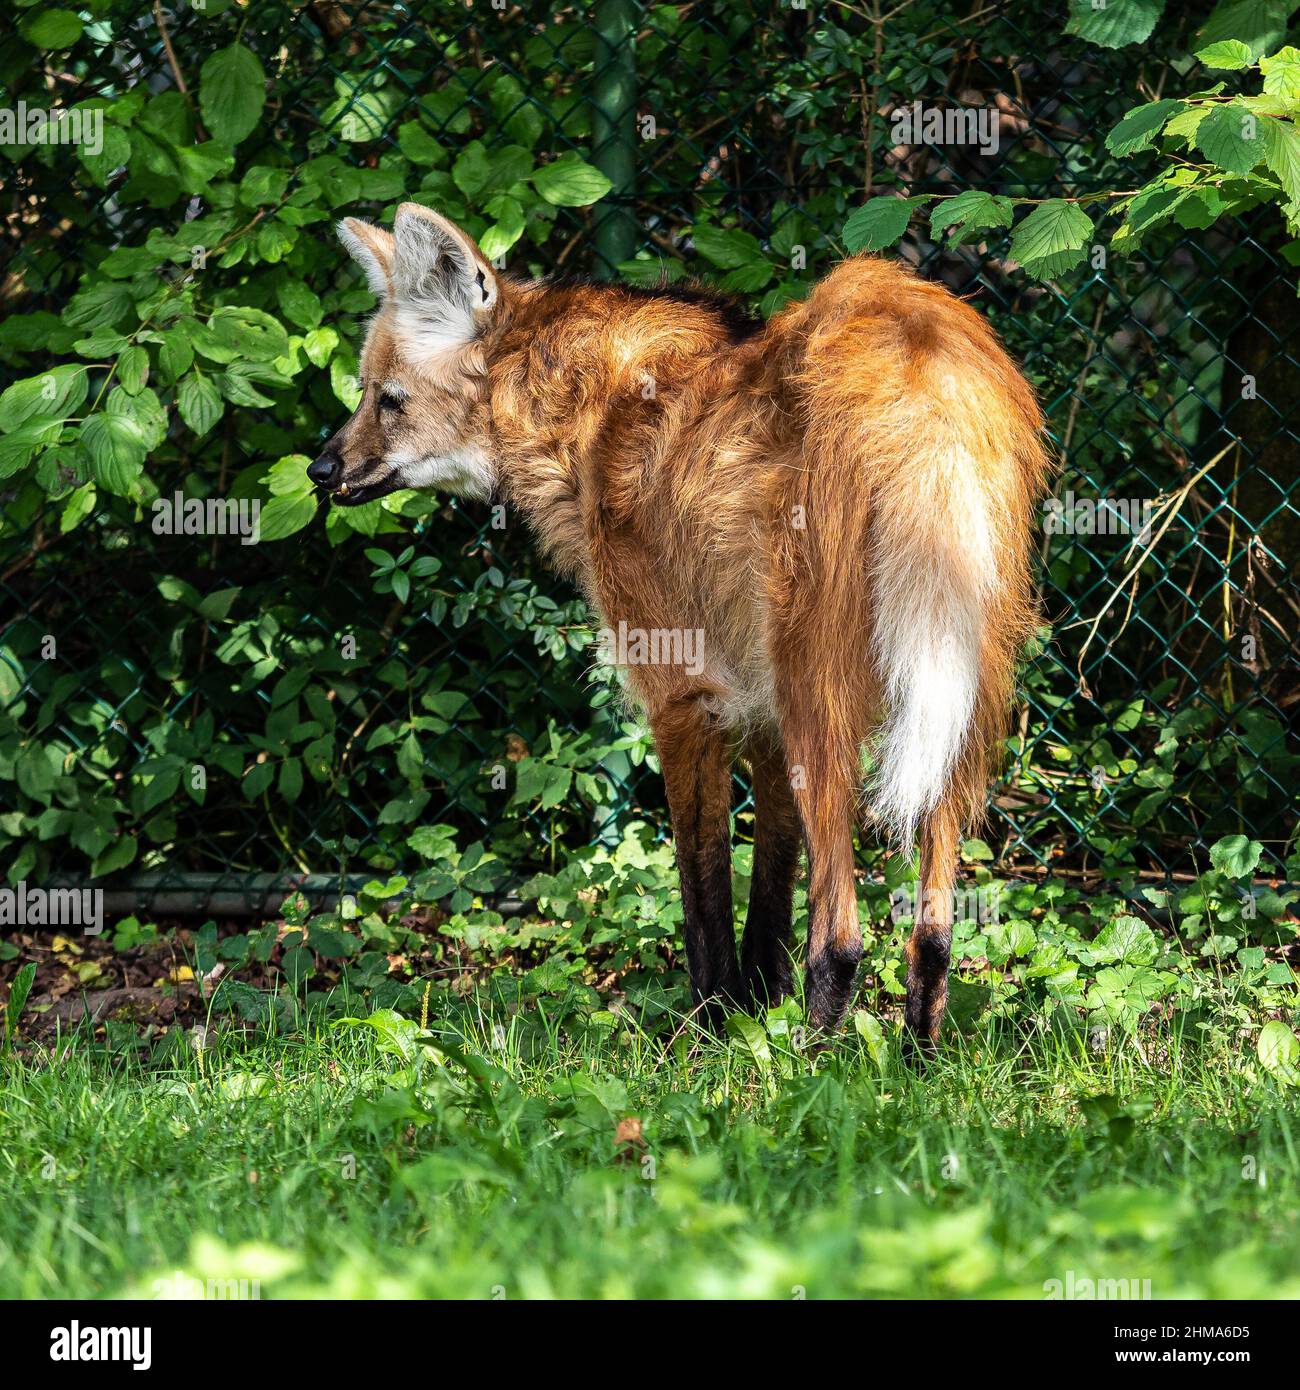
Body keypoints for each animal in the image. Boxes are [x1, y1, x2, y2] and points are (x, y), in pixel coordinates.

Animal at [311, 201, 1050, 1045]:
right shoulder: (758, 699)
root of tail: (914, 356)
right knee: (933, 925)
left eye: (387, 398)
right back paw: (917, 1057)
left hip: (823, 682)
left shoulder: (682, 692)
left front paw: (707, 1032)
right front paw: (756, 1009)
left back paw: (813, 1062)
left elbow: (704, 893)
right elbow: (769, 882)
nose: (321, 470)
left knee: (841, 932)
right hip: (962, 676)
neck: (581, 412)